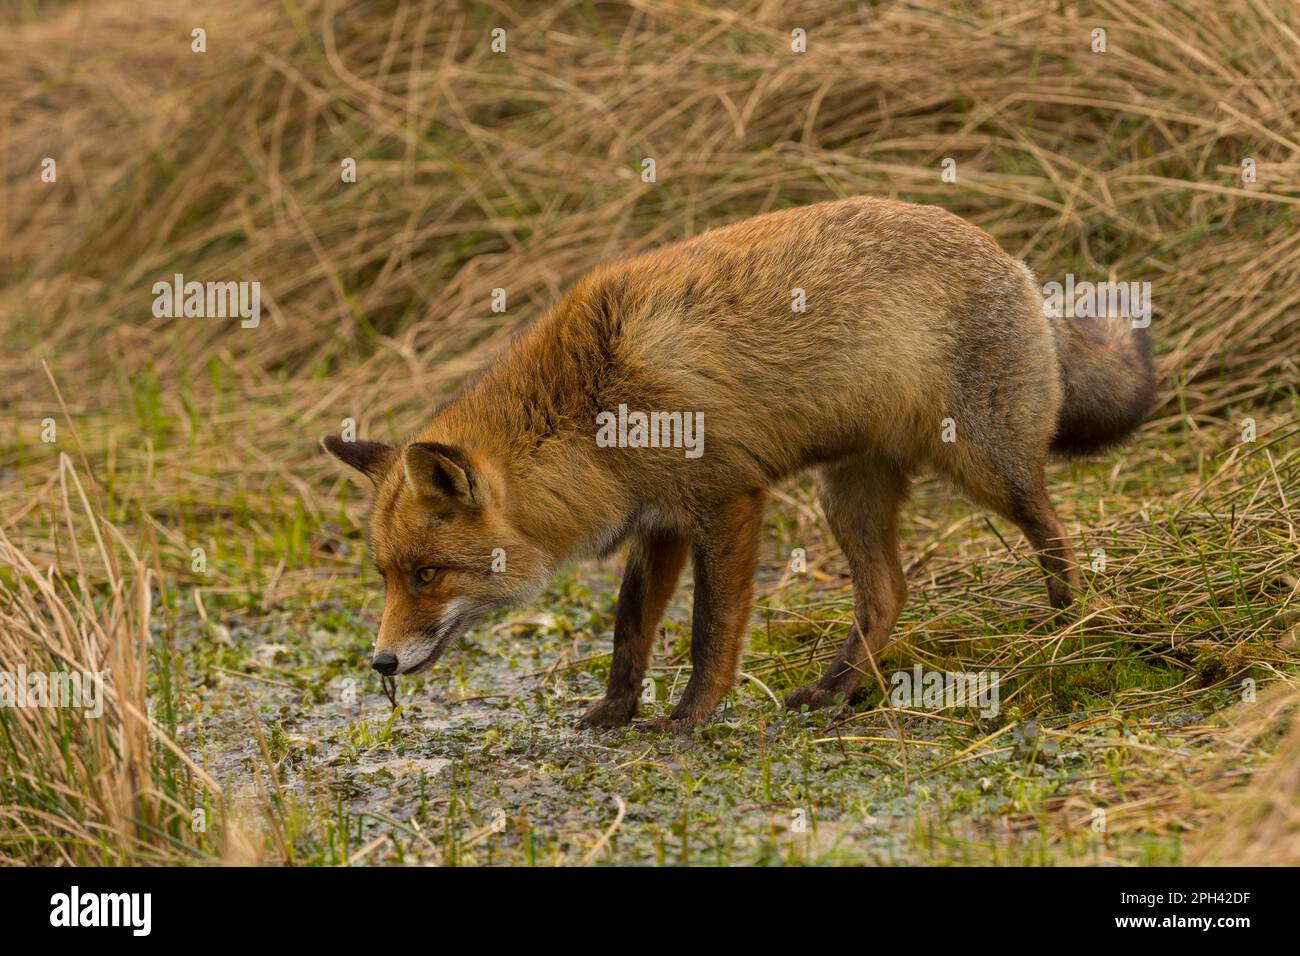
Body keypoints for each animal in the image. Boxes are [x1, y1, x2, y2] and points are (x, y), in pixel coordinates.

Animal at [323, 196, 1154, 731]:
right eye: (386, 575)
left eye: (427, 575)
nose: (380, 663)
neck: (588, 410)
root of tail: (1013, 259)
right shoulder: (658, 522)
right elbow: (629, 628)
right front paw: (615, 712)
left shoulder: (726, 499)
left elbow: (709, 630)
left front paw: (690, 718)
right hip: (847, 495)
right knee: (888, 592)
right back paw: (835, 693)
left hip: (984, 465)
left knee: (1054, 535)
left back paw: (1067, 631)